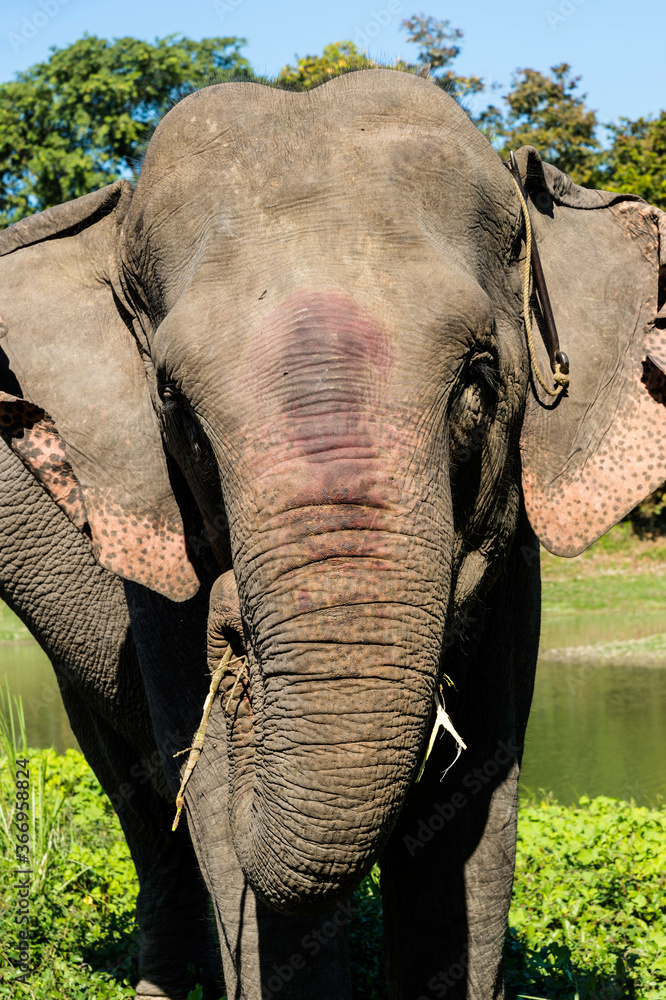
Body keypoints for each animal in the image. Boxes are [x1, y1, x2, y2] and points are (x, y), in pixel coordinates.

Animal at [1, 68, 665, 999]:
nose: (236, 632)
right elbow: (219, 823)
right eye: (176, 409)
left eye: (479, 380)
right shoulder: (151, 552)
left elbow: (473, 814)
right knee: (137, 788)